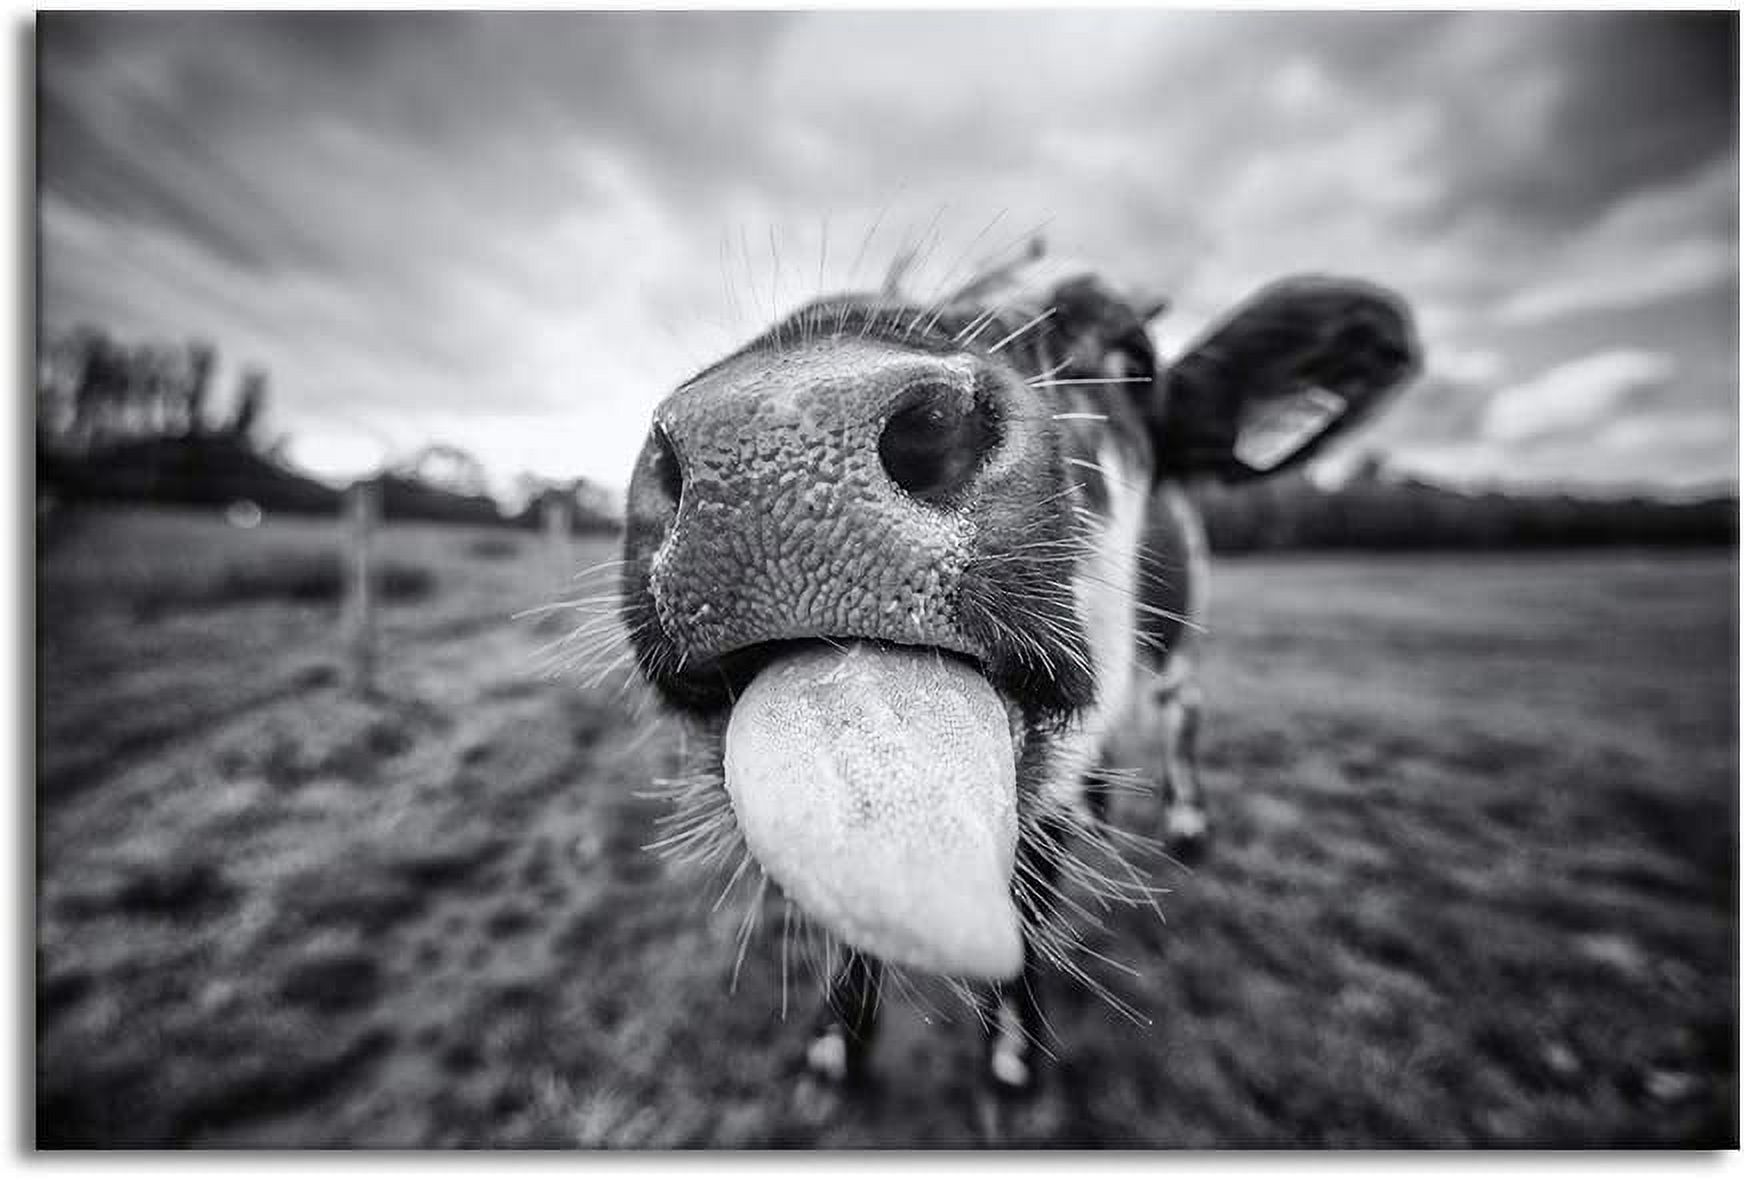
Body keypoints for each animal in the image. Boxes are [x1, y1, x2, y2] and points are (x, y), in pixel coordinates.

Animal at [616, 239, 1420, 1133]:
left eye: (1132, 355)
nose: (778, 433)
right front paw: (835, 1050)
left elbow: (1030, 897)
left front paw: (1009, 1062)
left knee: (1181, 706)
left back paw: (1185, 820)